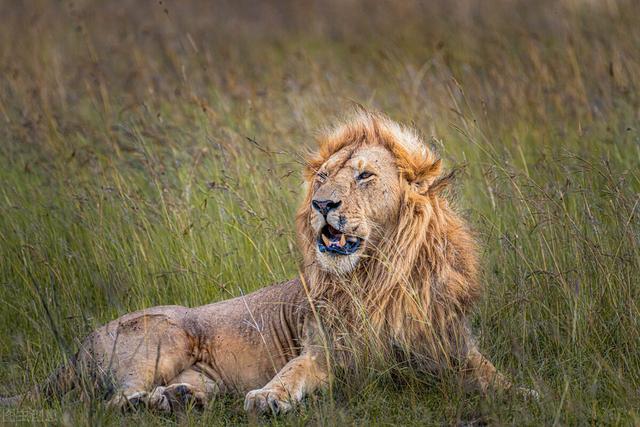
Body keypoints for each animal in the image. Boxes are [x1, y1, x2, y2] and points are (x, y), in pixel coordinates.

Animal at [1, 111, 536, 414]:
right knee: (111, 400)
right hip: (164, 335)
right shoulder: (329, 351)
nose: (322, 204)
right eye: (321, 177)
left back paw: (177, 401)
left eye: (364, 176)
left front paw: (525, 394)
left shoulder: (452, 349)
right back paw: (143, 404)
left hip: (198, 372)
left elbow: (494, 378)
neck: (380, 276)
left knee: (176, 390)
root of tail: (77, 347)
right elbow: (294, 372)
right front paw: (267, 398)